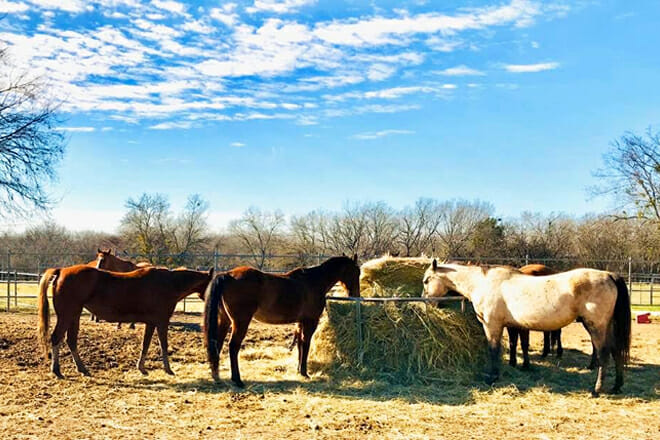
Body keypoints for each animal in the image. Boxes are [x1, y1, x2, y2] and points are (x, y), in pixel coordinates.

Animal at [37, 264, 213, 378]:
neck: (170, 283)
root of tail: (61, 271)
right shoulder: (162, 322)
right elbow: (163, 344)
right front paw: (168, 369)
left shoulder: (151, 323)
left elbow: (145, 344)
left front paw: (142, 368)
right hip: (67, 315)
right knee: (56, 338)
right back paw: (57, 370)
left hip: (74, 315)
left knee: (71, 340)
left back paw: (82, 369)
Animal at [203, 255, 360, 388]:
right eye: (356, 272)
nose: (356, 295)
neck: (314, 282)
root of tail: (228, 275)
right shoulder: (310, 322)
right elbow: (306, 344)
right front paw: (304, 372)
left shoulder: (300, 323)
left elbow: (300, 344)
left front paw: (299, 370)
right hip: (241, 322)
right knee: (233, 346)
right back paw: (237, 380)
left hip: (225, 321)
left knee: (217, 343)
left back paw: (216, 375)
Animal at [422, 260, 631, 396]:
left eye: (426, 280)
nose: (427, 303)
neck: (485, 283)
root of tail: (609, 275)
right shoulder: (511, 326)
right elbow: (514, 345)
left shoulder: (492, 325)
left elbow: (493, 350)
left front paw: (492, 377)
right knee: (616, 352)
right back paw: (617, 386)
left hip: (595, 326)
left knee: (604, 353)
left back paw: (596, 390)